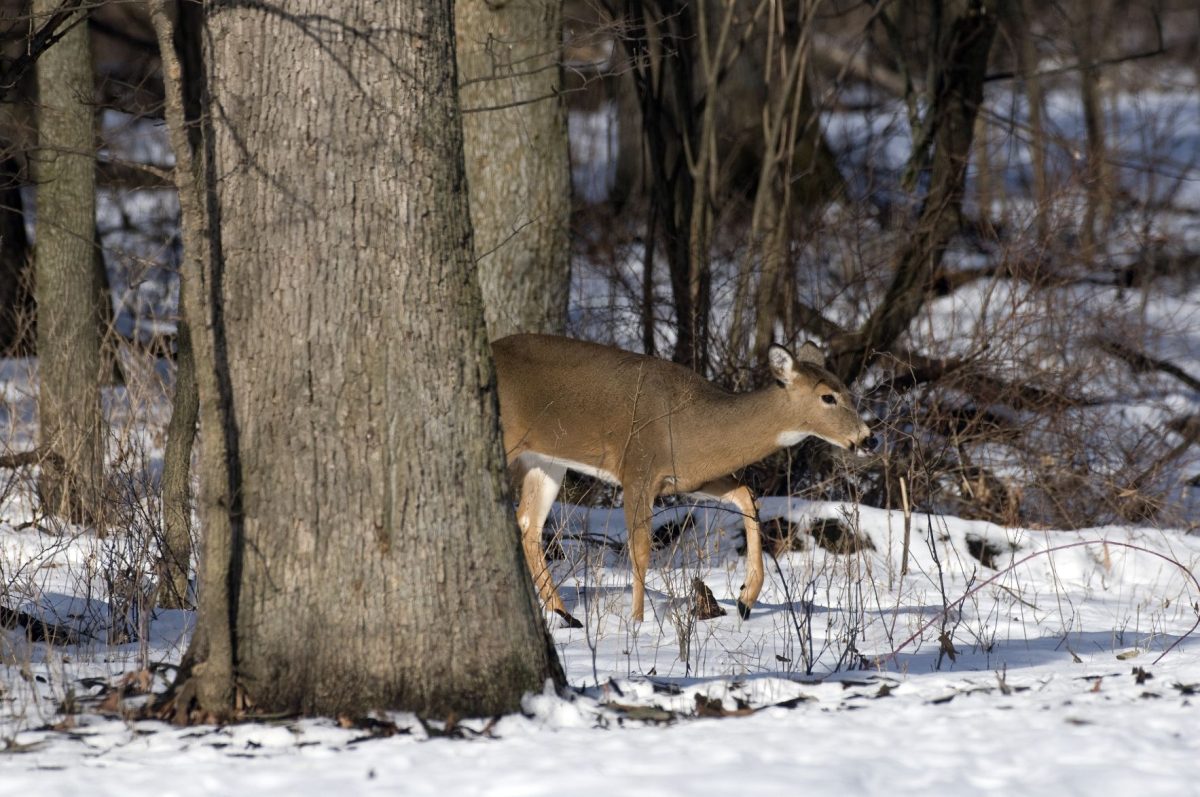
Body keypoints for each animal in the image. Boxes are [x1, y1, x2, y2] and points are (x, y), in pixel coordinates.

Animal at [492, 334, 876, 629]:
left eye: (848, 390)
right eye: (827, 396)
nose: (868, 438)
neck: (689, 423)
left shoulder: (690, 477)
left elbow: (746, 495)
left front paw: (746, 598)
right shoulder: (637, 467)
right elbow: (641, 549)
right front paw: (638, 622)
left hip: (547, 460)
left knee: (528, 525)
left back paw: (566, 616)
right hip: (512, 445)